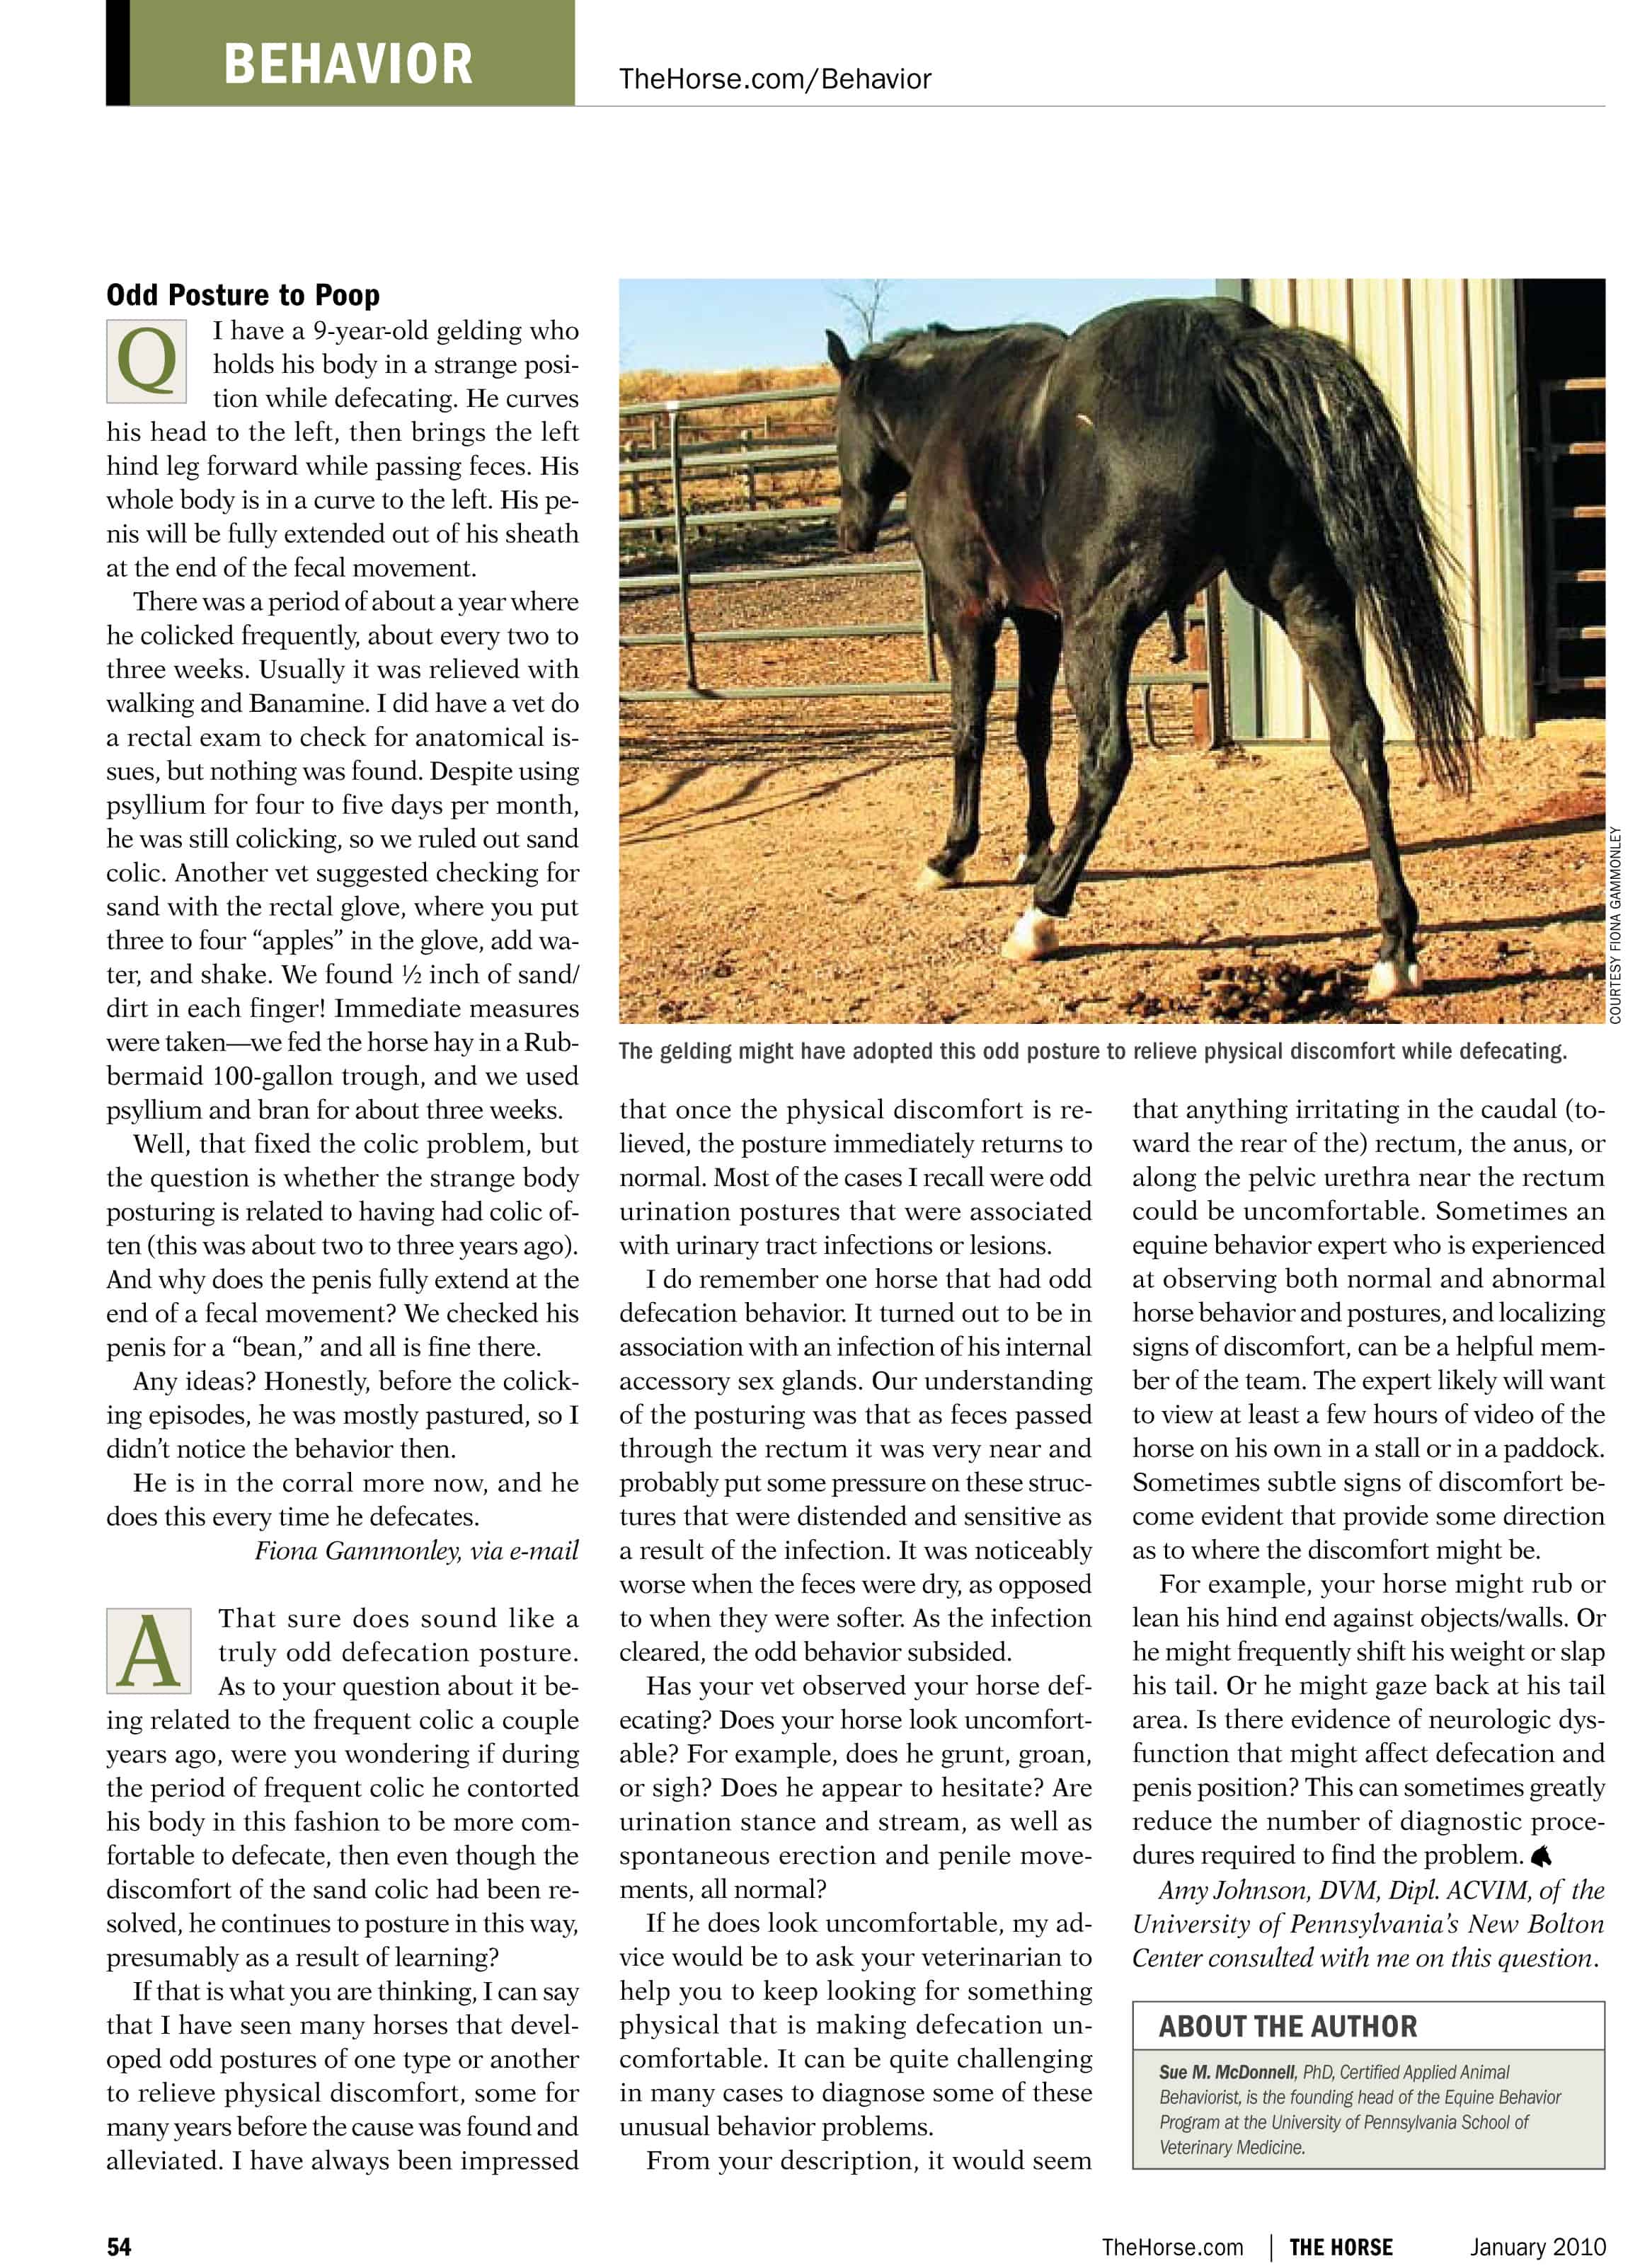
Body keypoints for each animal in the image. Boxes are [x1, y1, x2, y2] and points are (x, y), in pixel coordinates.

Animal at [825, 298, 1477, 999]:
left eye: (837, 417)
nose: (849, 533)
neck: (956, 407)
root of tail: (1226, 347)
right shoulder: (1038, 620)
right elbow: (1031, 732)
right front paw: (1033, 847)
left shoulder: (967, 612)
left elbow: (969, 732)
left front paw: (952, 855)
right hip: (1308, 604)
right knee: (1357, 740)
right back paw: (1394, 947)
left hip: (1102, 628)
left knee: (1106, 760)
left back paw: (1040, 918)